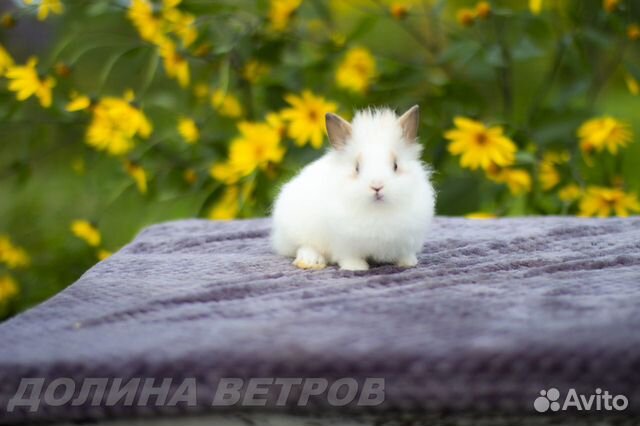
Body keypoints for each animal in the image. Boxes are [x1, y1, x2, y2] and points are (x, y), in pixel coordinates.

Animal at [271, 105, 435, 271]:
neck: (378, 211)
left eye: (395, 165)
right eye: (357, 168)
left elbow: (404, 254)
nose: (377, 186)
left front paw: (408, 263)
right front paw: (356, 267)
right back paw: (311, 262)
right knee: (304, 246)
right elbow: (349, 256)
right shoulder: (344, 243)